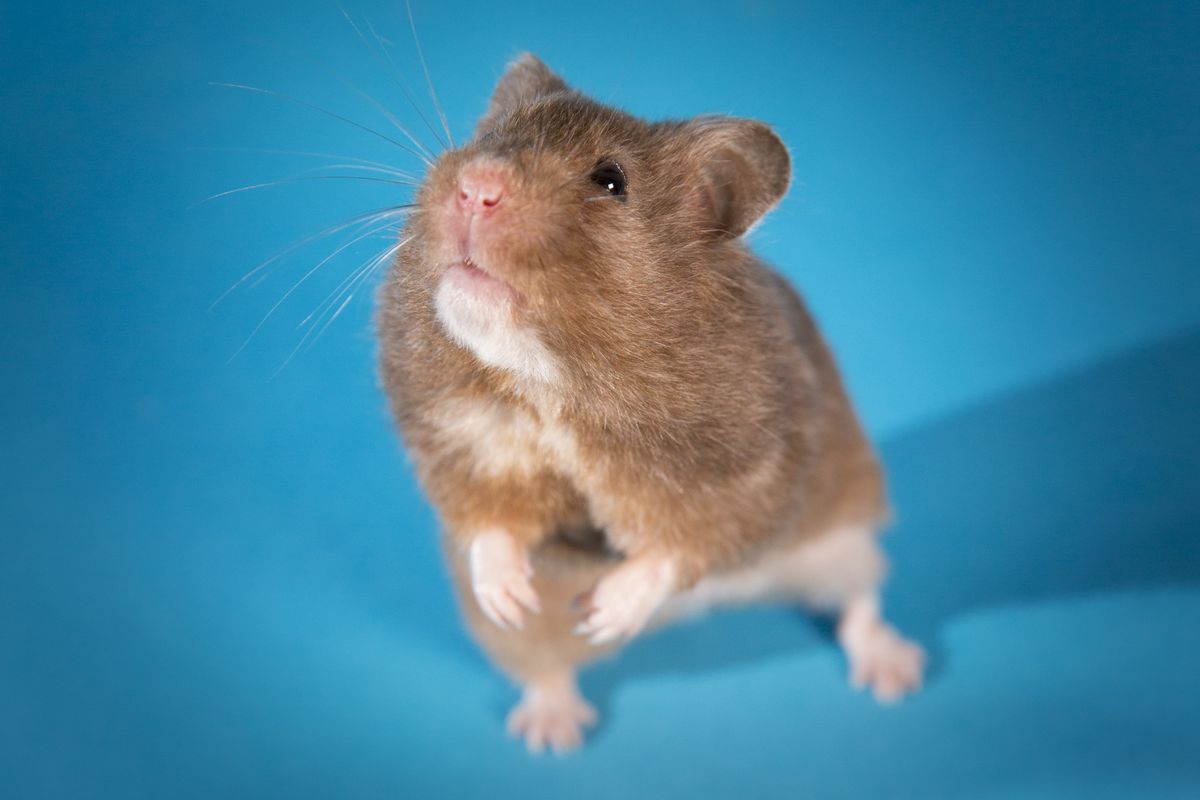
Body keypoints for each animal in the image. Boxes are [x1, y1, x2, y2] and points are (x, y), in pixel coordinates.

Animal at [376, 53, 924, 754]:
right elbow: (489, 520)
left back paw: (896, 673)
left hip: (840, 542)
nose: (475, 187)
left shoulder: (752, 471)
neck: (551, 378)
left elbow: (685, 543)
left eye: (611, 181)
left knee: (859, 602)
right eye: (486, 138)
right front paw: (511, 595)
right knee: (544, 667)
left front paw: (606, 611)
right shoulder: (455, 439)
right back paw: (551, 734)